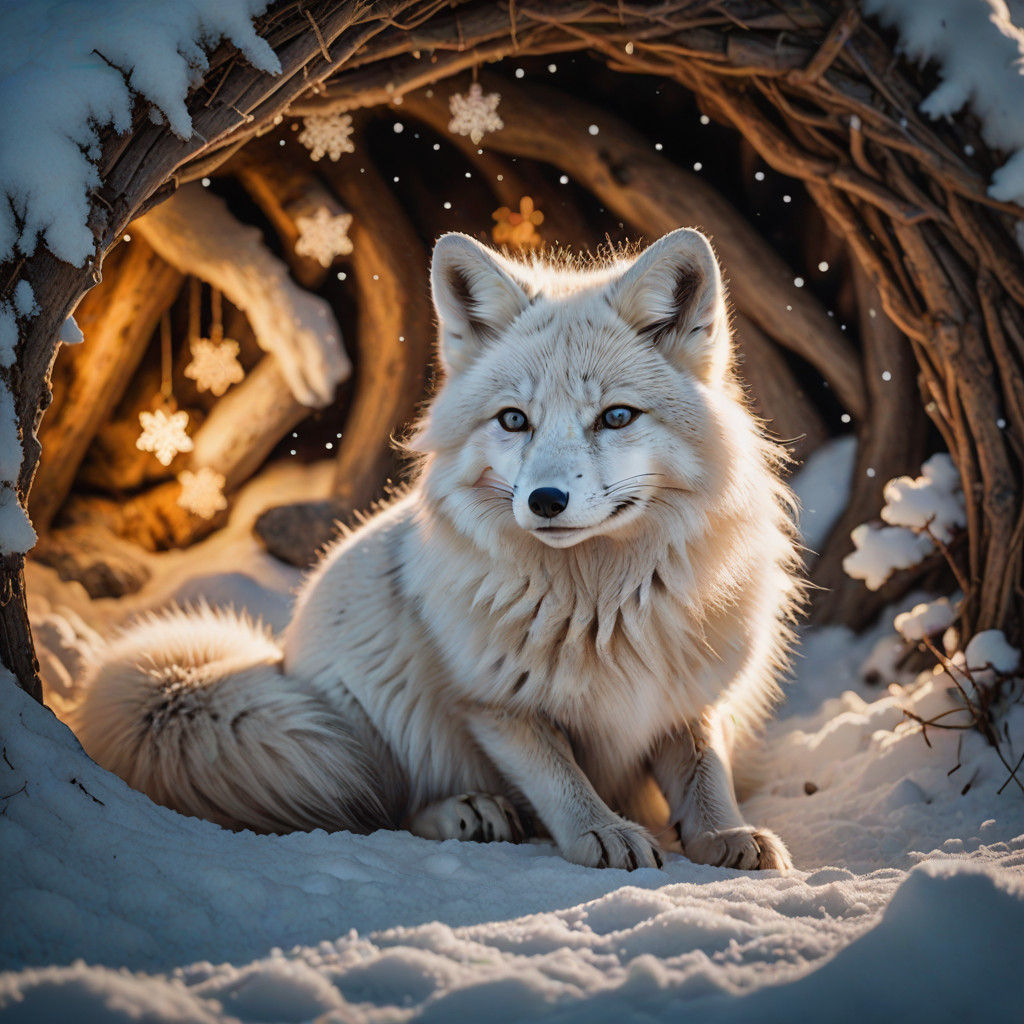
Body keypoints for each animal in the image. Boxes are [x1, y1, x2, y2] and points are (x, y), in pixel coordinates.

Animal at [75, 227, 802, 871]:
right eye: (514, 420)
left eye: (617, 417)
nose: (545, 501)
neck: (602, 600)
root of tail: (280, 657)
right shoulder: (496, 705)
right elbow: (561, 779)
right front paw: (604, 832)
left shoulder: (686, 699)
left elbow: (705, 772)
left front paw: (724, 836)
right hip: (374, 712)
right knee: (382, 806)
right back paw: (464, 812)